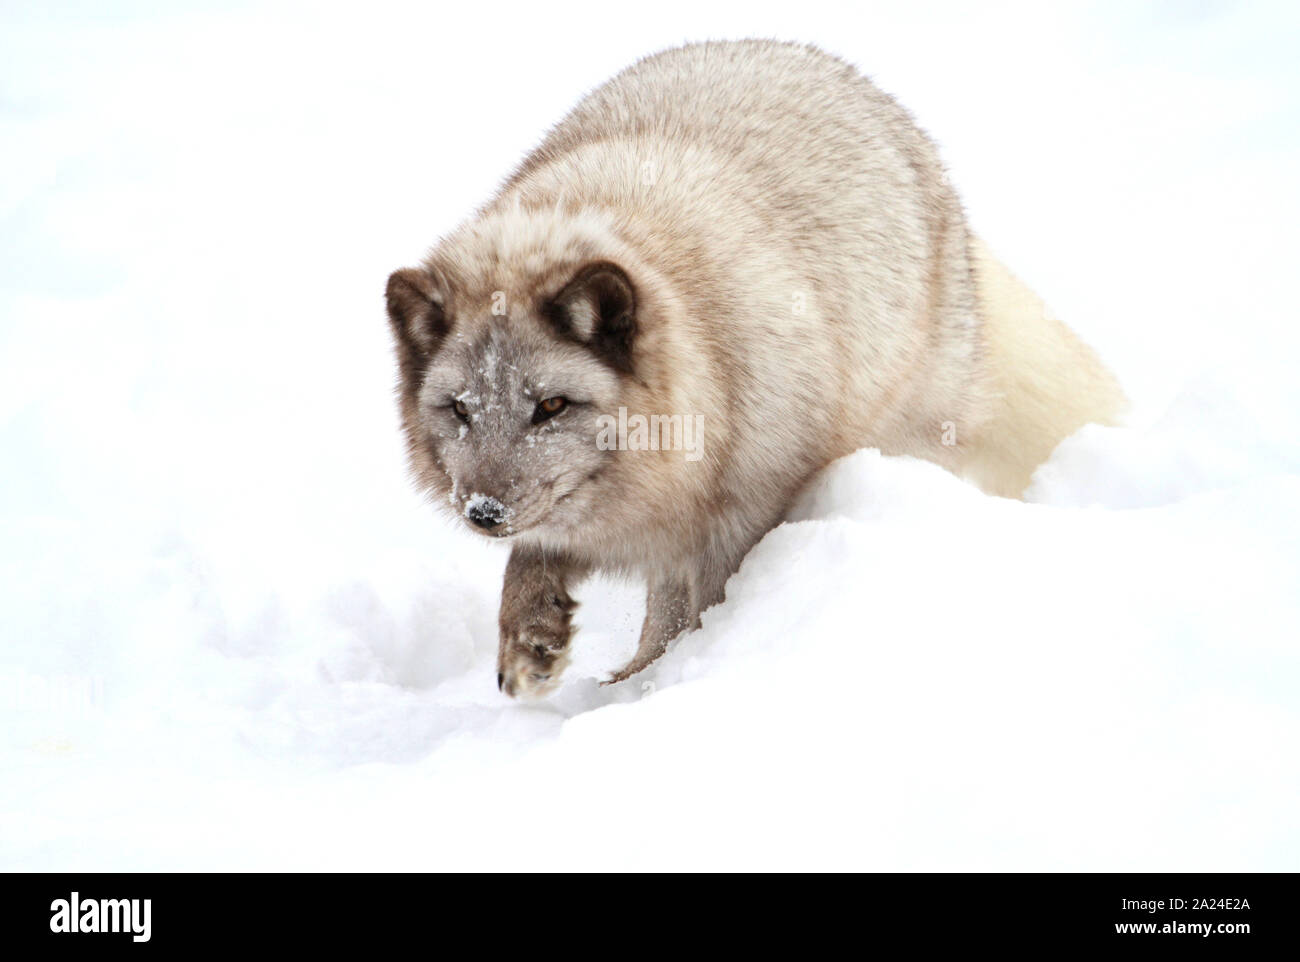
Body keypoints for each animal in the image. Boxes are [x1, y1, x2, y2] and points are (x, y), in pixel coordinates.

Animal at [384, 40, 1126, 698]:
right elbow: (533, 562)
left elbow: (701, 609)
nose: (483, 512)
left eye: (552, 406)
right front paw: (533, 641)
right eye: (460, 410)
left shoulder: (744, 508)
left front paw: (667, 681)